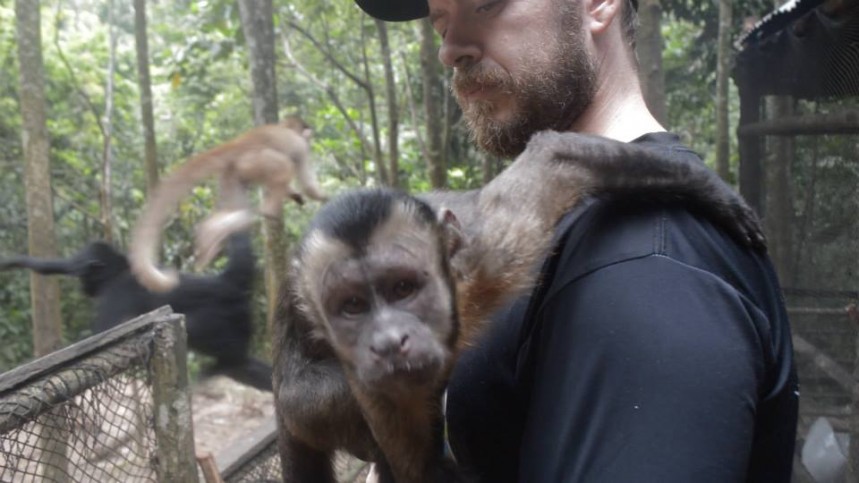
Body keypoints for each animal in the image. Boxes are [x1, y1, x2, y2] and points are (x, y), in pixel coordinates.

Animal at [129, 115, 327, 293]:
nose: (310, 134)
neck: (287, 128)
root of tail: (237, 144)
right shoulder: (301, 147)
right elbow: (307, 184)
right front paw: (325, 196)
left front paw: (294, 194)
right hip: (254, 161)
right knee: (284, 168)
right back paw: (267, 211)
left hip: (231, 173)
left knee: (238, 208)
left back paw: (209, 232)